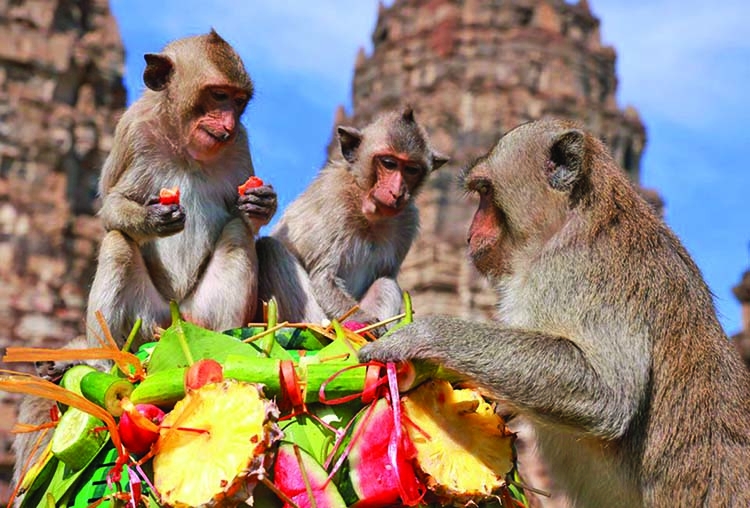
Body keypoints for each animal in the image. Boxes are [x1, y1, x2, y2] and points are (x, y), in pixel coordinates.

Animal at [86, 30, 276, 349]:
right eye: (219, 95)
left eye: (238, 101)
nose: (228, 124)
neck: (184, 148)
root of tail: (176, 316)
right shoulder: (135, 134)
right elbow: (112, 206)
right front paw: (152, 219)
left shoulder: (239, 143)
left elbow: (241, 217)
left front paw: (263, 204)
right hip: (148, 318)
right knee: (117, 244)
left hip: (201, 311)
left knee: (237, 233)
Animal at [257, 107, 448, 329]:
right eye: (389, 164)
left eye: (411, 169)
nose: (397, 192)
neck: (364, 203)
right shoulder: (334, 200)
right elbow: (323, 278)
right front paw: (364, 321)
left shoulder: (407, 221)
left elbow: (386, 276)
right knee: (271, 248)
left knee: (386, 282)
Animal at [359, 119, 750, 507]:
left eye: (485, 192)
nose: (471, 233)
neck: (569, 222)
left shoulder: (577, 271)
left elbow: (608, 395)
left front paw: (421, 336)